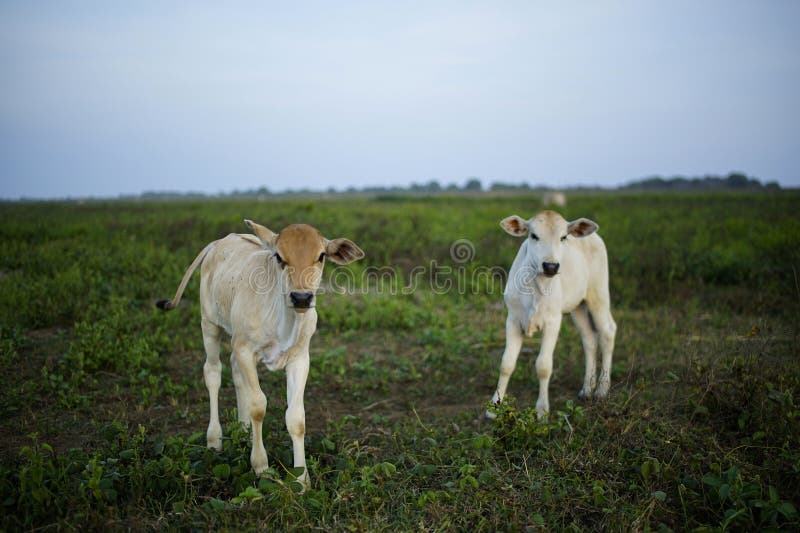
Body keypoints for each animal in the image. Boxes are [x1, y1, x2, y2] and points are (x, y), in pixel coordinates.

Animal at [156, 219, 364, 489]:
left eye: (321, 256)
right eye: (279, 256)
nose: (301, 297)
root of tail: (220, 241)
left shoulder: (300, 359)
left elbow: (296, 418)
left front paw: (302, 481)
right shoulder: (245, 350)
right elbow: (258, 406)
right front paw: (261, 466)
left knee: (235, 372)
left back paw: (243, 430)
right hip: (209, 324)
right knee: (213, 373)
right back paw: (214, 439)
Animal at [486, 210, 616, 419]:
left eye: (563, 237)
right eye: (533, 235)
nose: (550, 266)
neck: (536, 286)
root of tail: (594, 237)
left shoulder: (553, 321)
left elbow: (544, 366)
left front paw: (542, 411)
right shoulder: (512, 318)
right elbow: (506, 363)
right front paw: (494, 407)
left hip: (599, 294)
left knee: (607, 332)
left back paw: (602, 390)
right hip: (578, 305)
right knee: (589, 338)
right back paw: (587, 390)